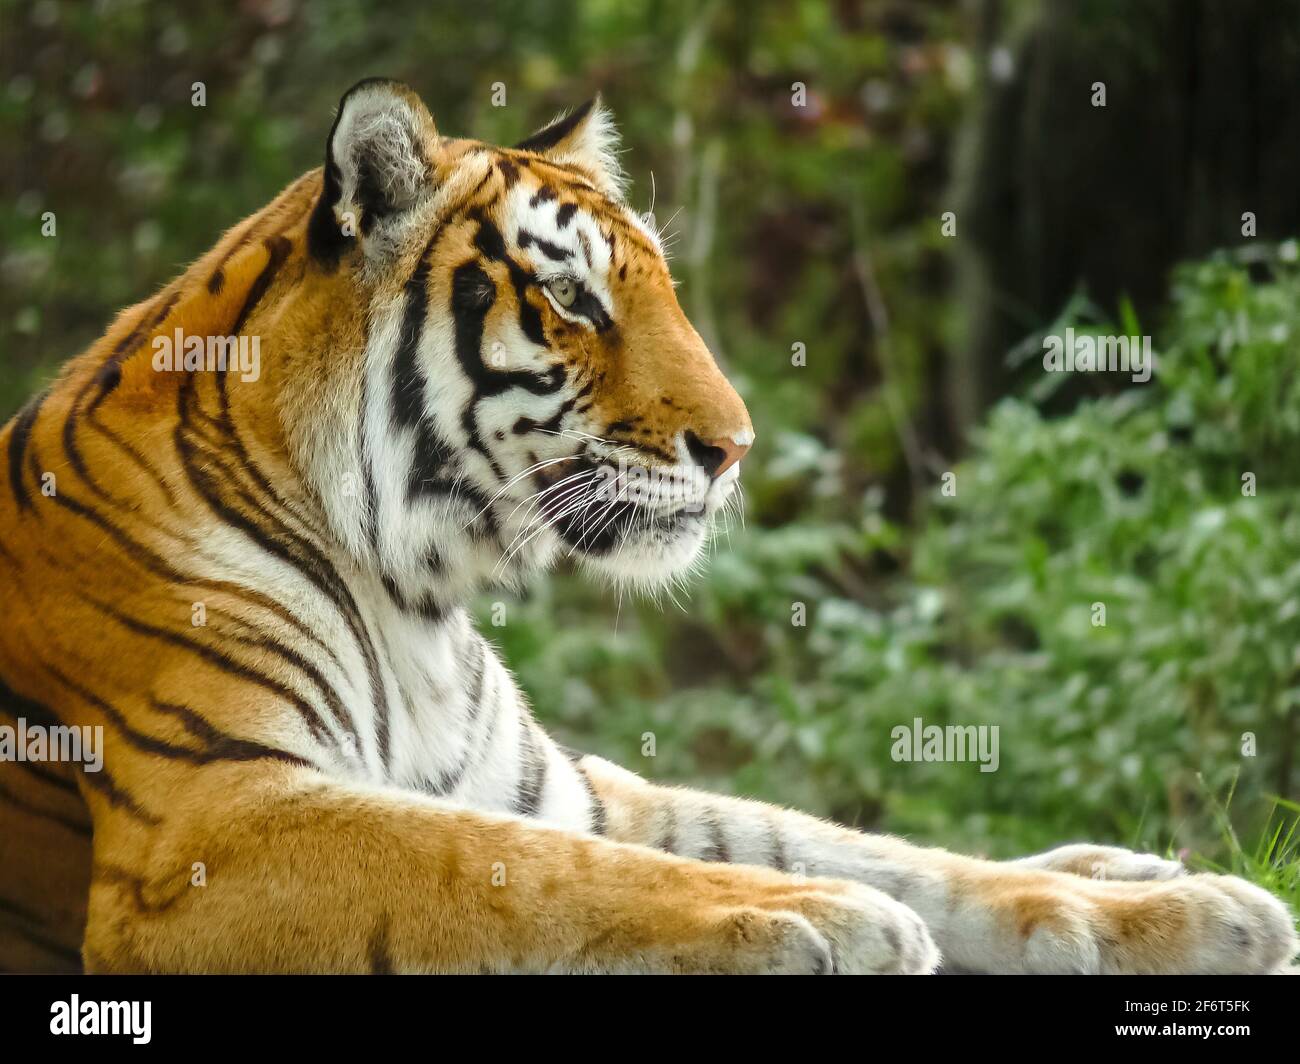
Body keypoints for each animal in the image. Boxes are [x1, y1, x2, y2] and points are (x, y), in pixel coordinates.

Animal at [0, 78, 1294, 975]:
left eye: (658, 286)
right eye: (570, 298)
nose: (736, 447)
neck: (413, 597)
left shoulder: (552, 785)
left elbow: (830, 839)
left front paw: (1202, 911)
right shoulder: (213, 823)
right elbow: (541, 872)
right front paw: (831, 921)